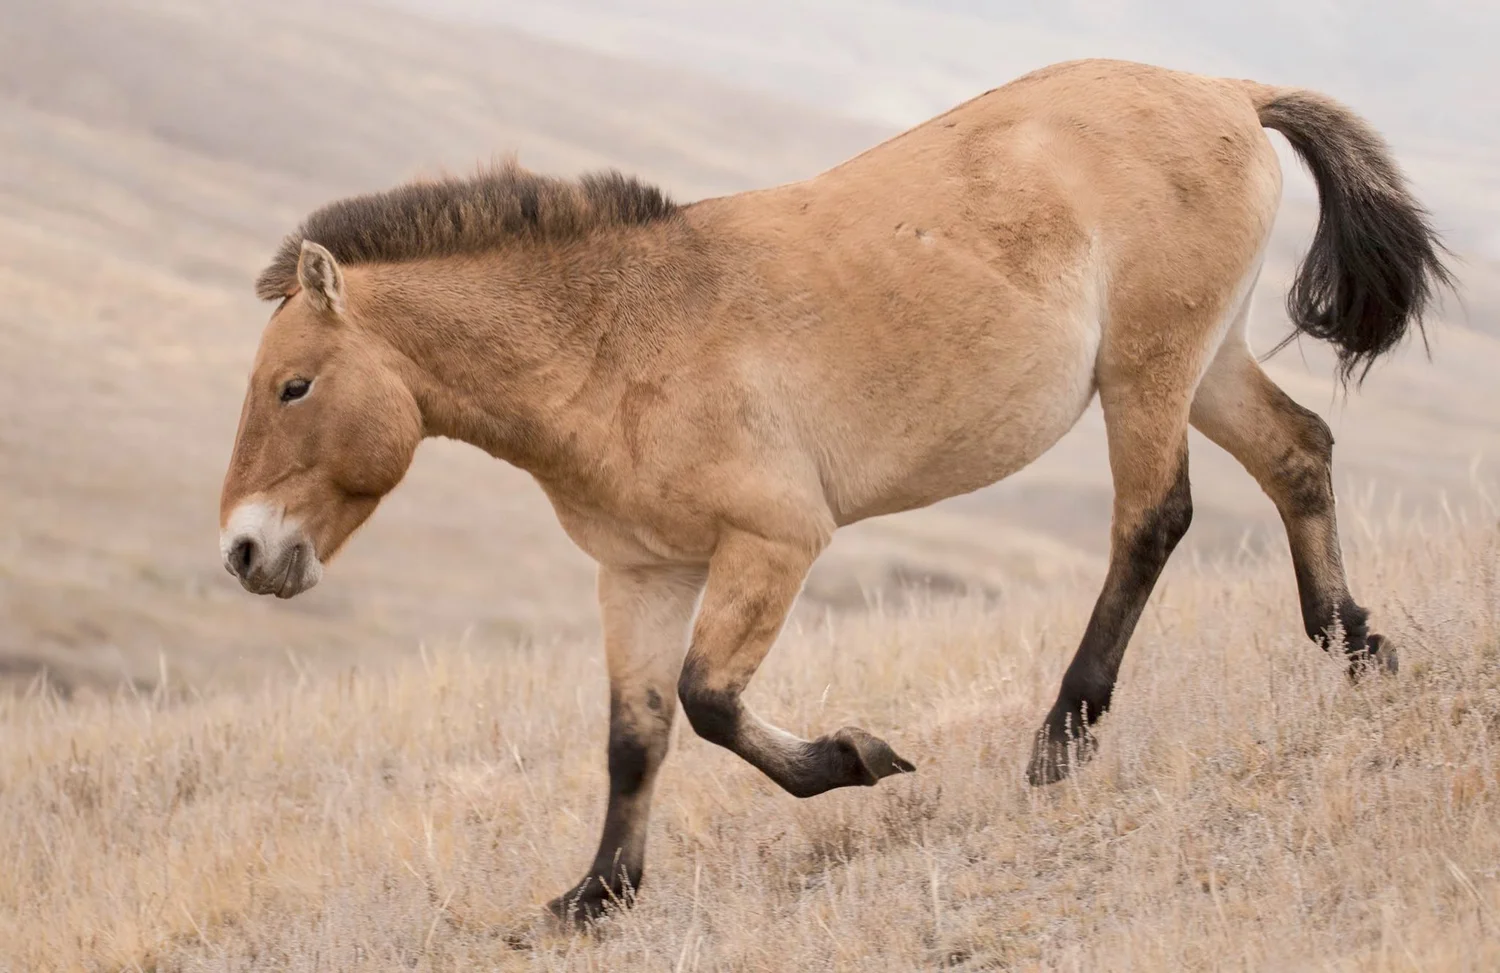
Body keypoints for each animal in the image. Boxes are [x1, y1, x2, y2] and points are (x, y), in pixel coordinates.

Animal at [218, 58, 1452, 923]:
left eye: (292, 384)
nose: (243, 551)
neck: (617, 335)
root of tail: (1230, 93)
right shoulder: (642, 572)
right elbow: (635, 735)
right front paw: (596, 896)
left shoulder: (773, 542)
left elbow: (709, 702)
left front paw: (861, 759)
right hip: (1205, 361)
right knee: (1298, 452)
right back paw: (1358, 648)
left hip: (1146, 373)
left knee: (1152, 523)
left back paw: (1061, 740)